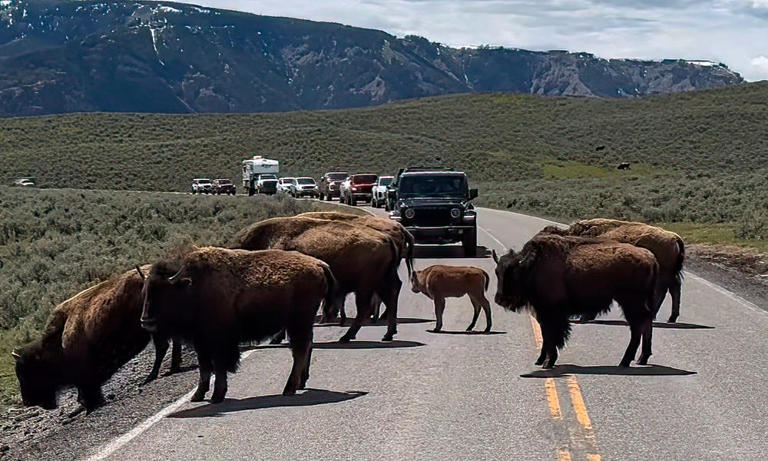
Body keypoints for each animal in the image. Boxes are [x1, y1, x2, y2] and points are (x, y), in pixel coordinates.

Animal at [13, 266, 181, 412]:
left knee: (163, 347)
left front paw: (92, 405)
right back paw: (171, 368)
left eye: (25, 371)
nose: (27, 402)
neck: (58, 342)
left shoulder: (86, 376)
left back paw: (153, 375)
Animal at [140, 248, 335, 403]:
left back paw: (289, 389)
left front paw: (217, 396)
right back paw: (301, 383)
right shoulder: (201, 342)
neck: (192, 286)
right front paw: (198, 395)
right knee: (307, 347)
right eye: (145, 290)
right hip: (302, 324)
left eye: (164, 292)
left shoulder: (219, 342)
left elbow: (218, 367)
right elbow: (204, 367)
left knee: (300, 351)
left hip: (298, 323)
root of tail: (319, 264)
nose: (145, 321)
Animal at [233, 217, 403, 343]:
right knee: (391, 298)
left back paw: (346, 337)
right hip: (381, 282)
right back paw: (388, 334)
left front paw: (276, 338)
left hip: (365, 286)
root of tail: (386, 239)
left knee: (365, 308)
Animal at [493, 234, 658, 368]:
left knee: (637, 327)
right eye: (497, 272)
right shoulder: (542, 312)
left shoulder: (551, 313)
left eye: (513, 273)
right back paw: (641, 359)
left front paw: (548, 362)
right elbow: (546, 336)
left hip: (630, 302)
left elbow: (551, 335)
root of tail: (649, 256)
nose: (500, 299)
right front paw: (540, 360)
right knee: (645, 323)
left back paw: (625, 361)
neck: (532, 266)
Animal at [541, 218, 685, 322]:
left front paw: (585, 316)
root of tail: (674, 237)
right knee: (673, 288)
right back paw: (670, 318)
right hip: (669, 274)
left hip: (662, 275)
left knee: (664, 290)